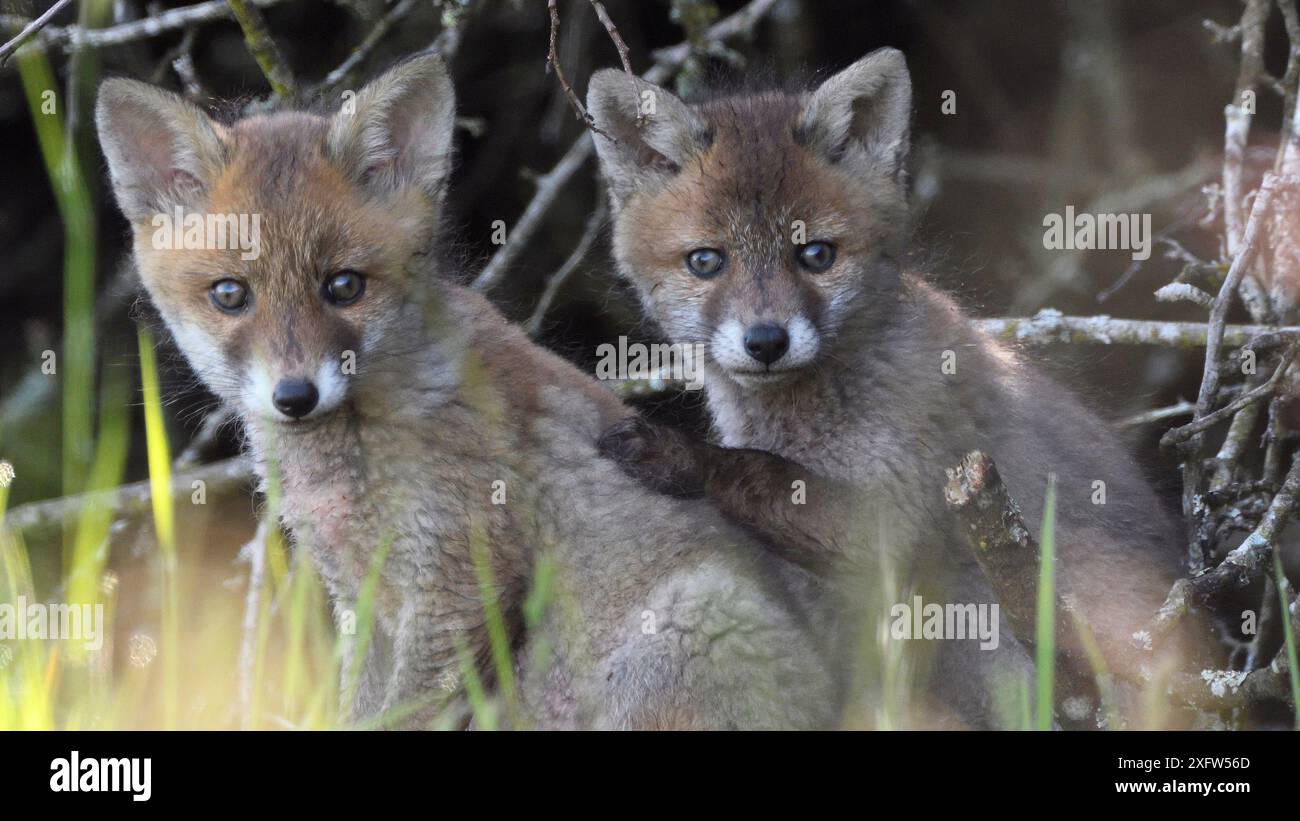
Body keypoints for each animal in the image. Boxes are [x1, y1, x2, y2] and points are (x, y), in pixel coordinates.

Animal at [94, 53, 836, 729]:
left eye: (344, 286)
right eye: (230, 295)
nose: (295, 395)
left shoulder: (459, 577)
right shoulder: (362, 599)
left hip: (679, 634)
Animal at [587, 49, 1199, 727]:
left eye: (817, 255)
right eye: (705, 261)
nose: (766, 341)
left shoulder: (899, 518)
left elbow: (752, 469)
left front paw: (675, 454)